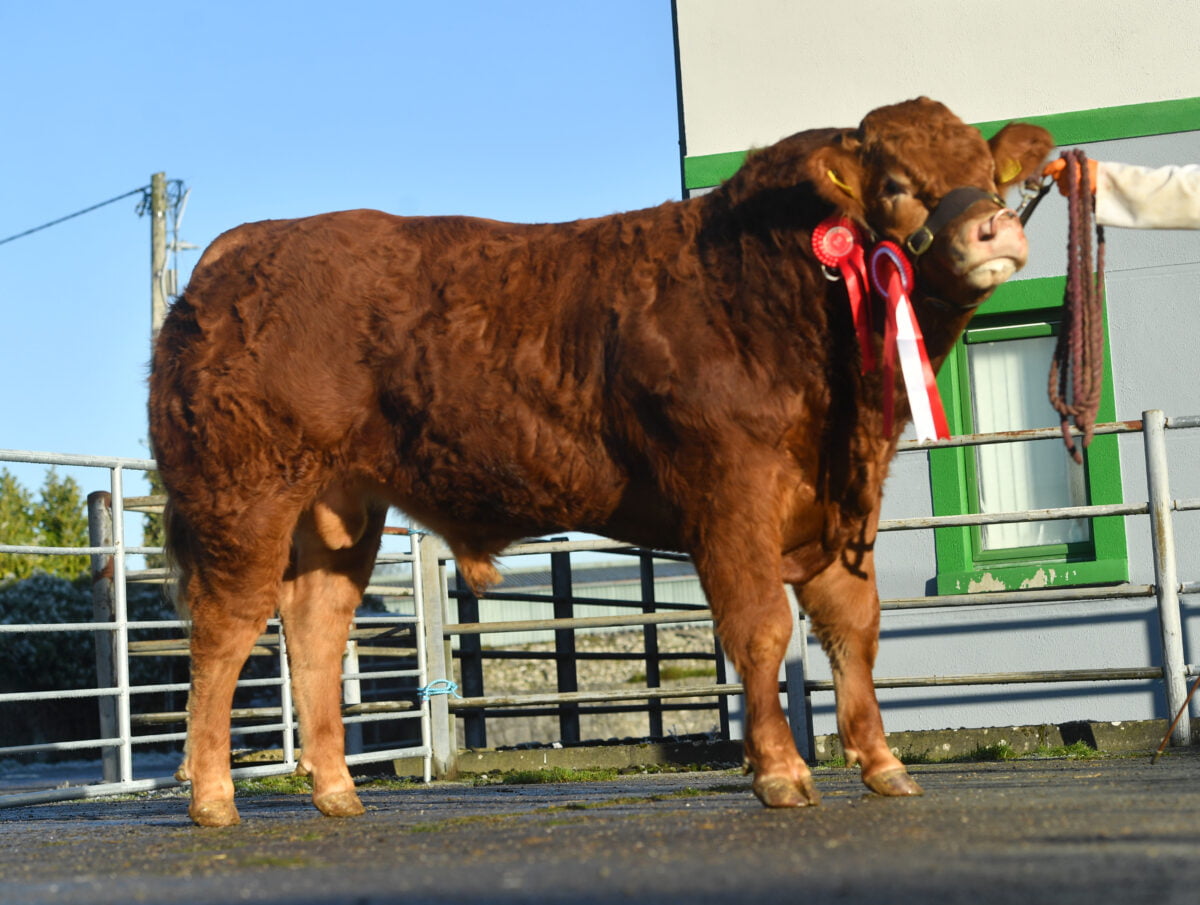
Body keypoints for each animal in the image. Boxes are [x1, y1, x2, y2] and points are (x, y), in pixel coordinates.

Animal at [149, 97, 1053, 826]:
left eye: (988, 175)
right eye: (897, 184)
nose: (996, 228)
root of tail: (238, 251)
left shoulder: (839, 499)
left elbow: (854, 629)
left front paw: (882, 762)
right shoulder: (730, 493)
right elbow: (760, 627)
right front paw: (781, 771)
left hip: (338, 511)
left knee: (315, 627)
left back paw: (337, 790)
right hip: (245, 495)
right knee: (225, 633)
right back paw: (213, 797)